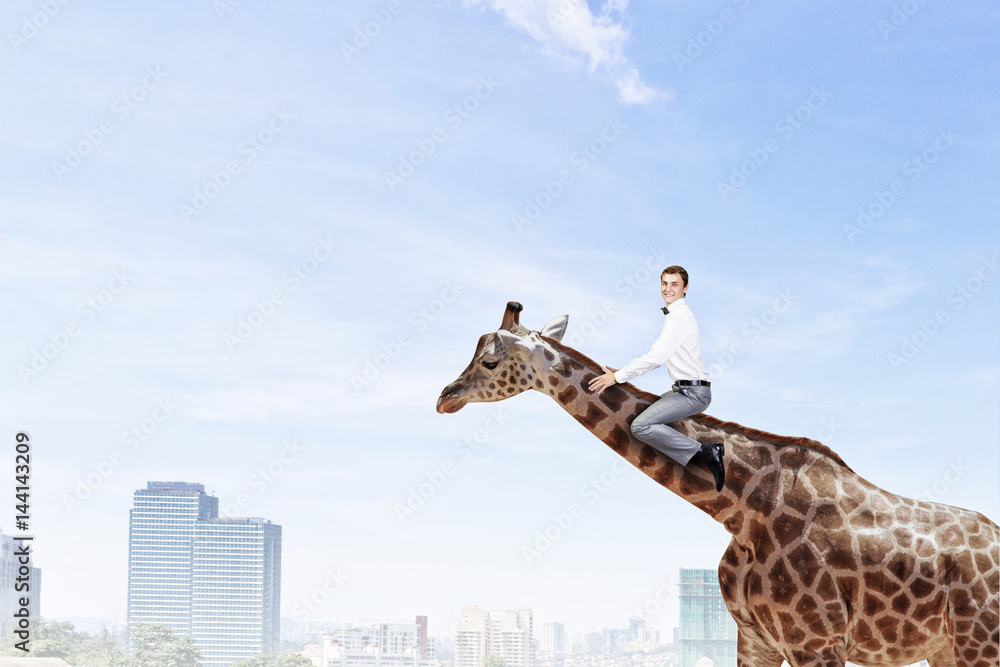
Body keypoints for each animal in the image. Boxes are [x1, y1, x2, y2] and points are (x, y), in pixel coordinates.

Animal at [436, 302, 1000, 667]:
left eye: (490, 360)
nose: (445, 396)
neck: (743, 511)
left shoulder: (817, 643)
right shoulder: (755, 641)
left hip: (980, 642)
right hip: (946, 649)